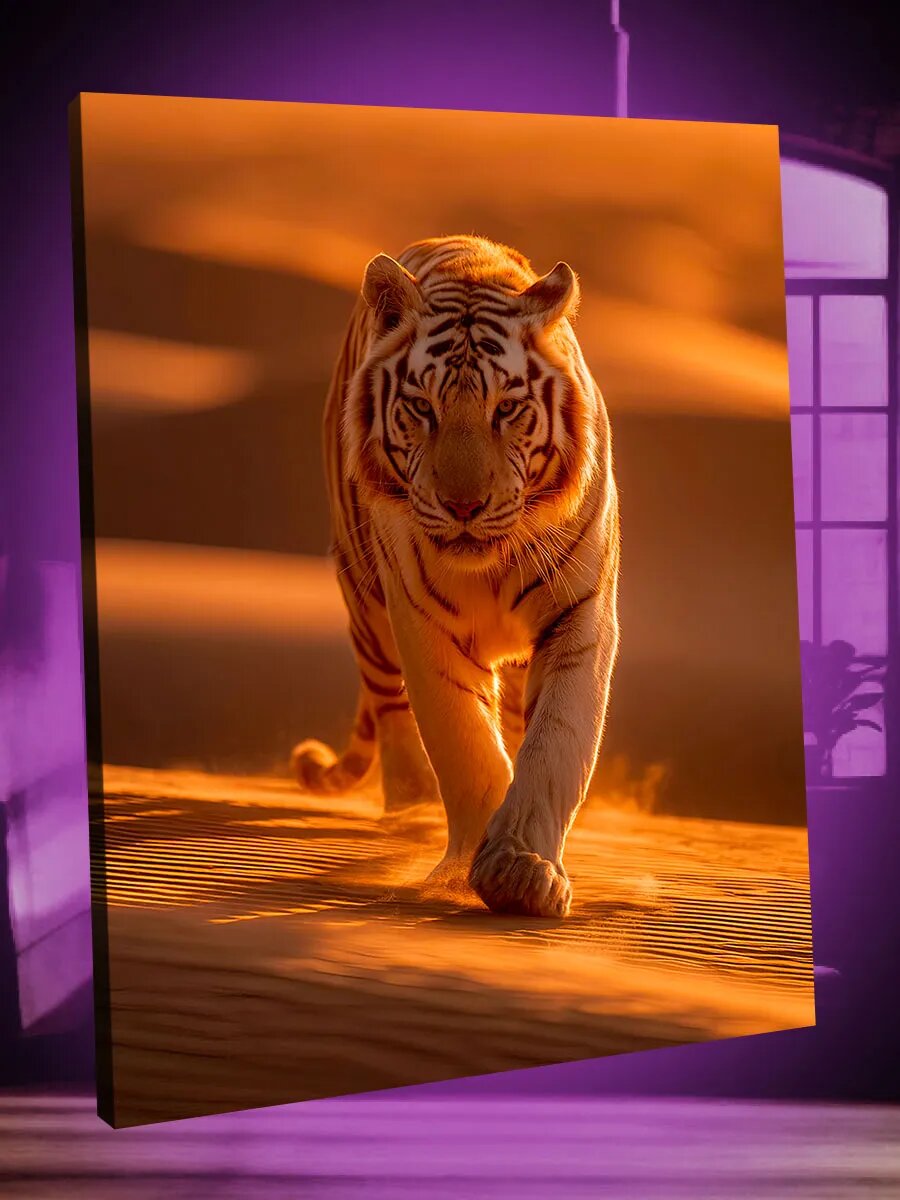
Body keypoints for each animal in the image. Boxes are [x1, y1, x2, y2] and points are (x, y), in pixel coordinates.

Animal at [292, 234, 620, 918]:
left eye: (507, 409)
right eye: (423, 408)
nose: (463, 506)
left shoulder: (580, 617)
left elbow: (556, 743)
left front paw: (520, 869)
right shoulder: (422, 625)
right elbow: (464, 743)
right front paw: (469, 867)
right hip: (366, 605)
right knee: (394, 717)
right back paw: (412, 815)